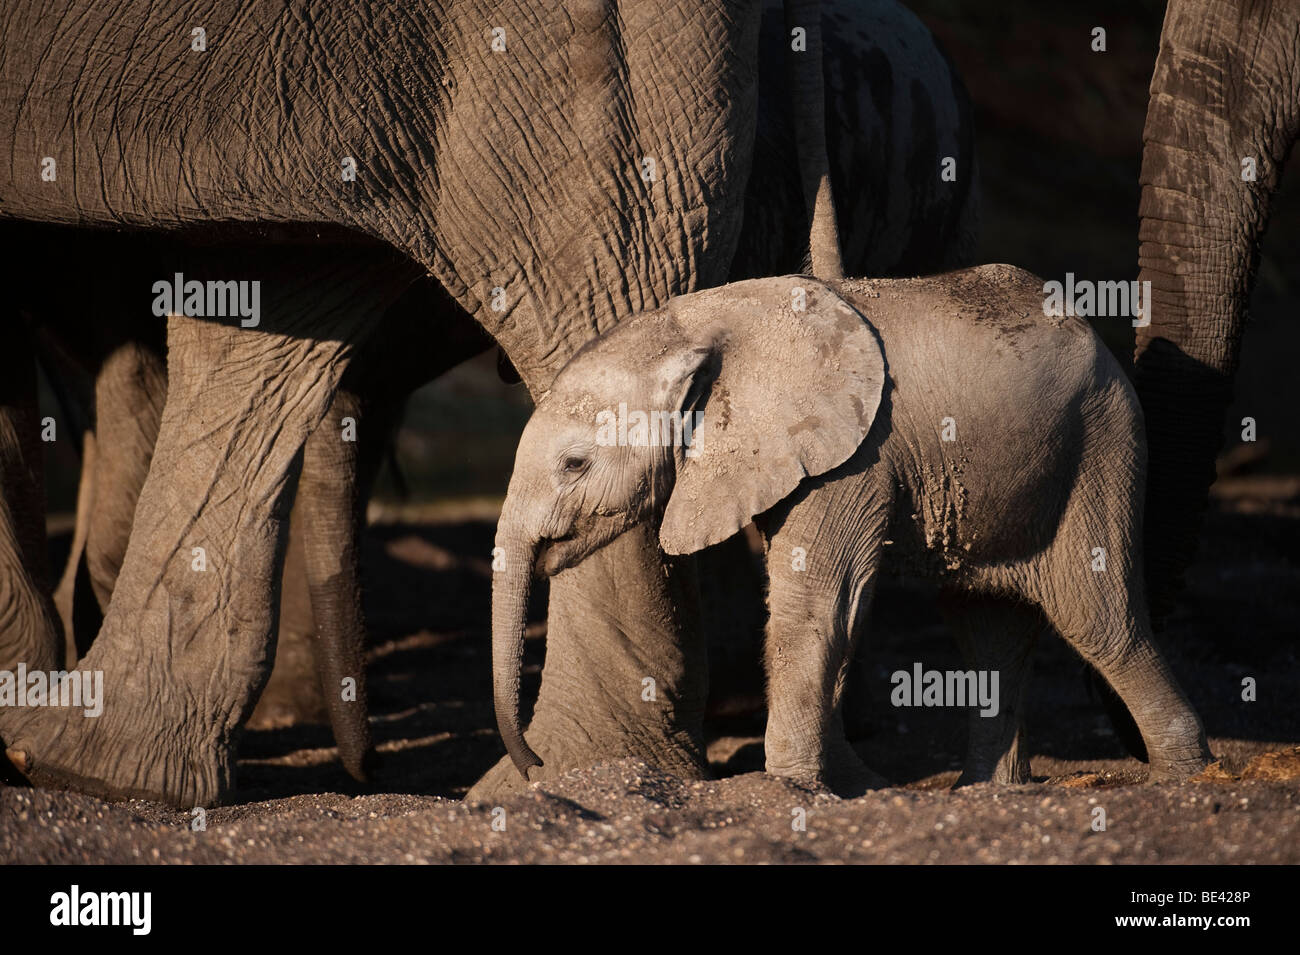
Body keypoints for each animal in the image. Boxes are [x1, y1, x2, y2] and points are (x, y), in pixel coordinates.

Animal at [488, 271, 1214, 790]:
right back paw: (985, 792)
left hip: (1101, 444)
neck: (696, 325)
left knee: (1098, 619)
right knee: (988, 629)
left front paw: (788, 791)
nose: (538, 768)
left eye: (574, 464)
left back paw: (1188, 777)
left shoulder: (851, 455)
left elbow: (817, 604)